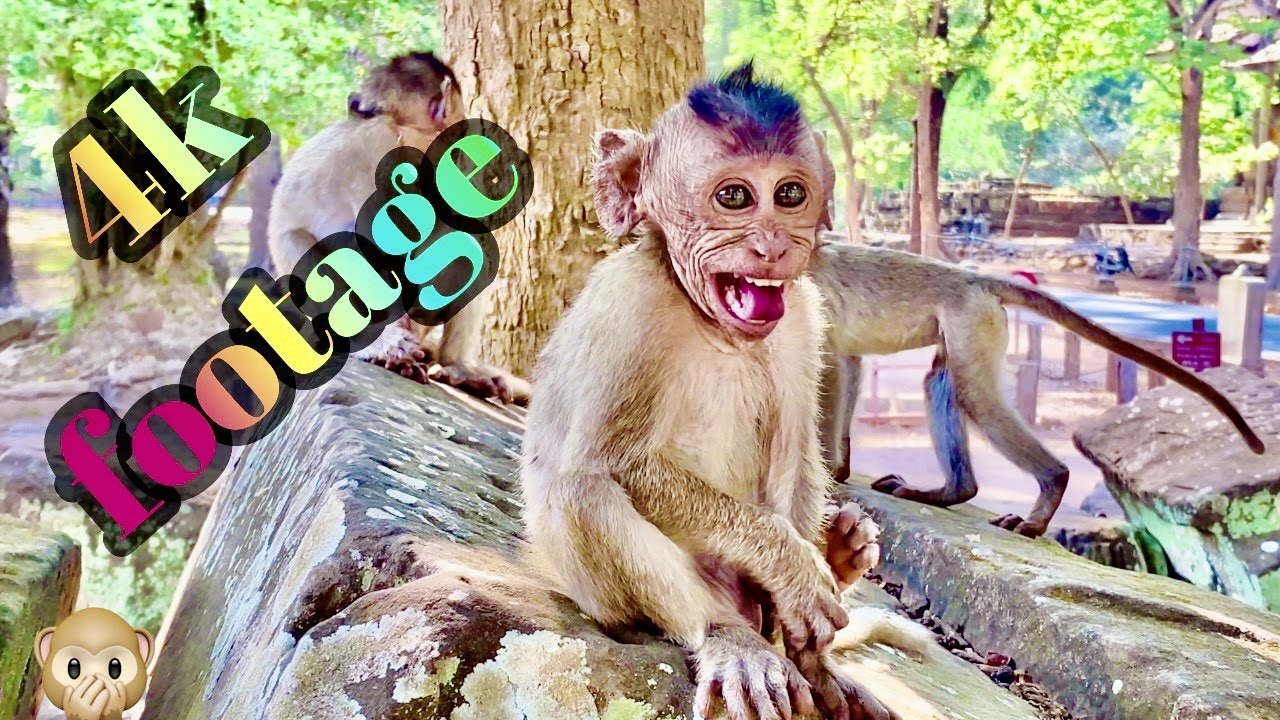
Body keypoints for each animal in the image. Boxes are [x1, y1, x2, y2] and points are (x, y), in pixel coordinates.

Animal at [522, 63, 908, 720]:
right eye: (734, 198)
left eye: (789, 195)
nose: (772, 246)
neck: (713, 324)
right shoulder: (633, 306)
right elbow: (615, 461)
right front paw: (791, 566)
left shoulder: (802, 318)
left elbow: (798, 450)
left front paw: (813, 648)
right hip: (620, 597)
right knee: (584, 491)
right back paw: (734, 637)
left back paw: (832, 575)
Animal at [807, 240, 1267, 539]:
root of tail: (973, 278)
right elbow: (848, 361)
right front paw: (840, 469)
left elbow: (831, 366)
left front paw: (827, 476)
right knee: (944, 381)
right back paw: (954, 491)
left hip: (973, 319)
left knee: (974, 394)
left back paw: (1050, 485)